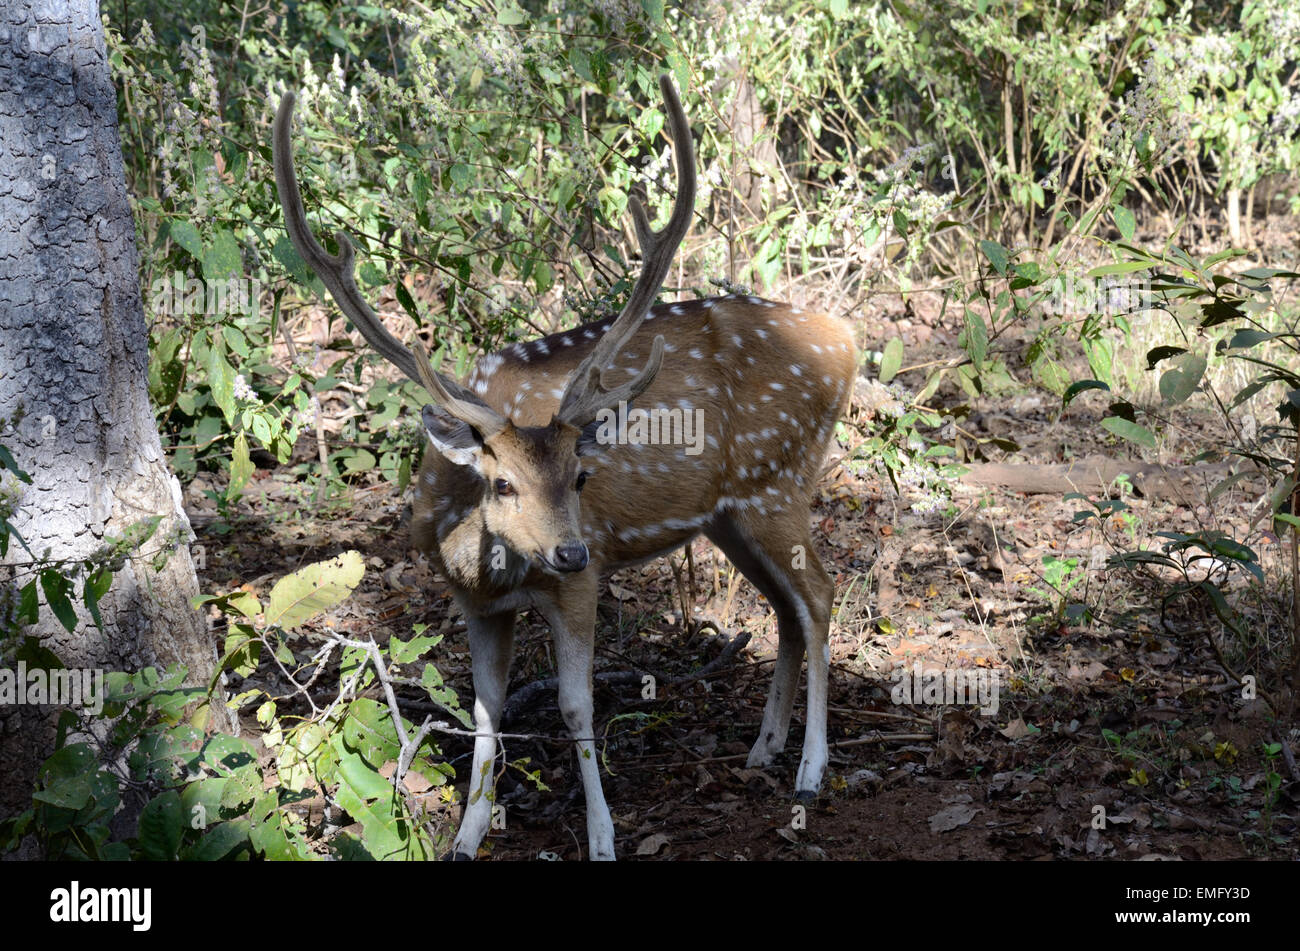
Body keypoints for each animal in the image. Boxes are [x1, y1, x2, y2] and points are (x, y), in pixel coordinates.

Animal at [272, 75, 857, 860]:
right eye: (502, 482)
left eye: (581, 477)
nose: (569, 548)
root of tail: (848, 340)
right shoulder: (475, 605)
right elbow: (485, 710)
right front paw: (468, 835)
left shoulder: (582, 585)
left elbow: (577, 706)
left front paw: (604, 837)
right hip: (732, 513)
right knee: (785, 606)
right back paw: (764, 749)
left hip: (779, 480)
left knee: (819, 594)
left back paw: (810, 771)